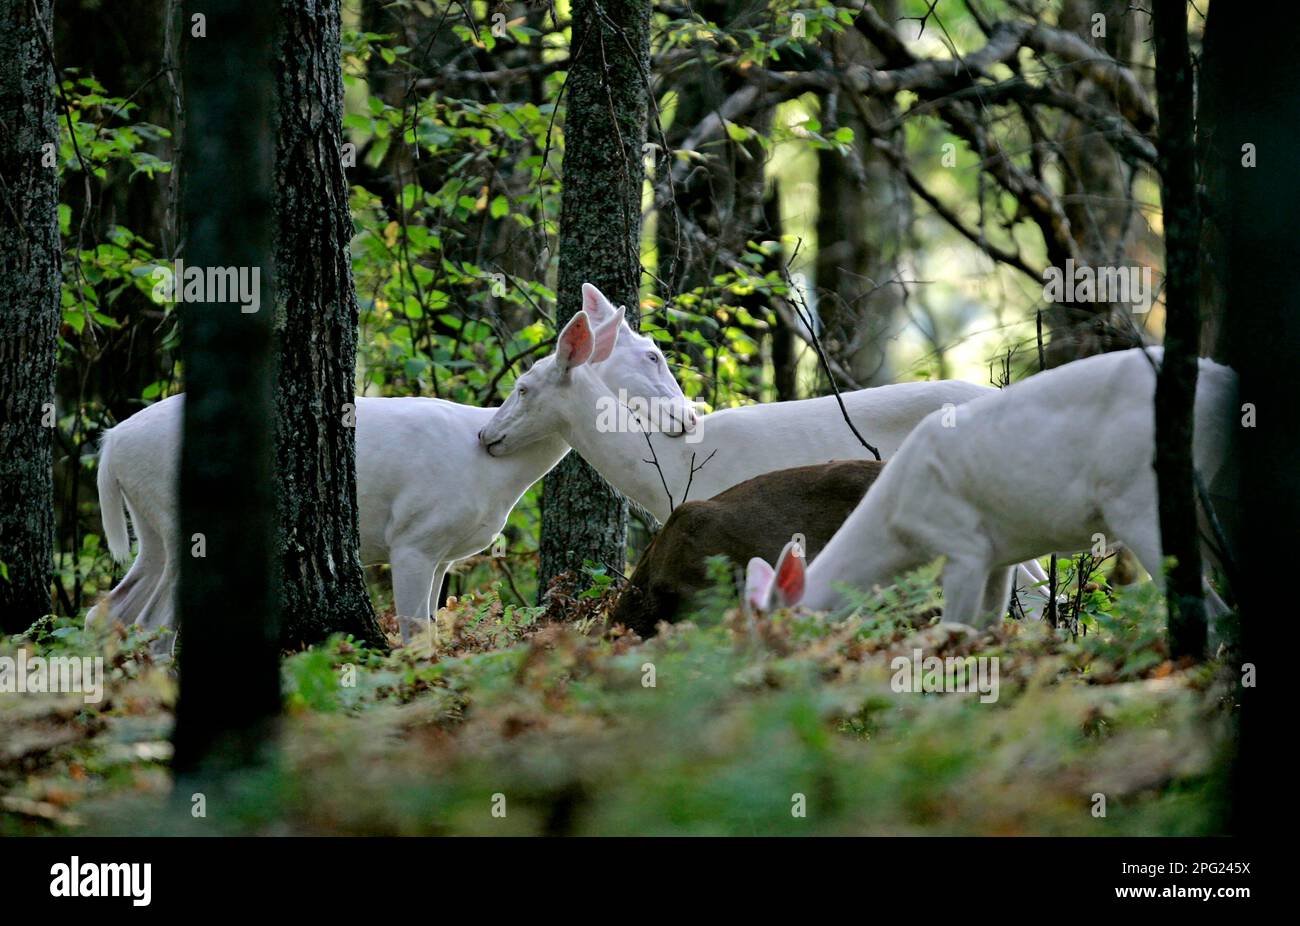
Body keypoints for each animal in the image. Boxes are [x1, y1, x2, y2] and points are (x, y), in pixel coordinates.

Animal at [93, 284, 696, 650]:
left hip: (151, 528)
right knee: (151, 622)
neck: (492, 479)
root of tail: (111, 445)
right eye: (652, 357)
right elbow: (412, 631)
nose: (687, 415)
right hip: (181, 521)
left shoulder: (442, 554)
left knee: (112, 609)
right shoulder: (413, 538)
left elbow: (430, 627)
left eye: (522, 387)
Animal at [745, 348, 1239, 633]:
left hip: (1140, 498)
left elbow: (955, 632)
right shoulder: (999, 556)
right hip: (1211, 499)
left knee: (1212, 611)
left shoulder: (963, 546)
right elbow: (988, 631)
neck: (895, 526)